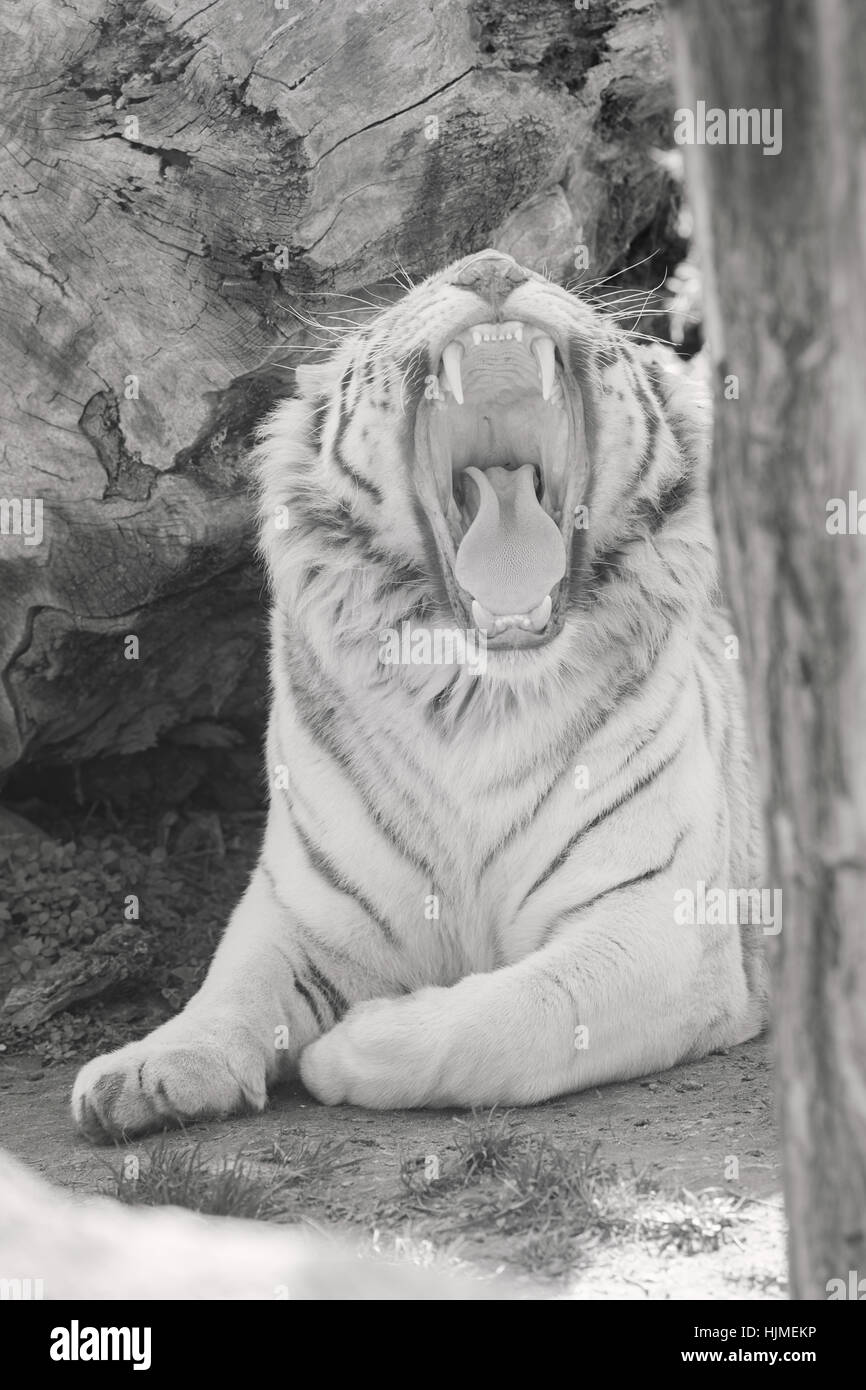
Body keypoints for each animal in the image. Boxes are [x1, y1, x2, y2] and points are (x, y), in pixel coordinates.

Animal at [72, 249, 769, 1140]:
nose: (494, 265)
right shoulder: (303, 907)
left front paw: (346, 1049)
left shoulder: (655, 925)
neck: (474, 697)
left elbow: (518, 1013)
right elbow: (232, 984)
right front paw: (144, 1071)